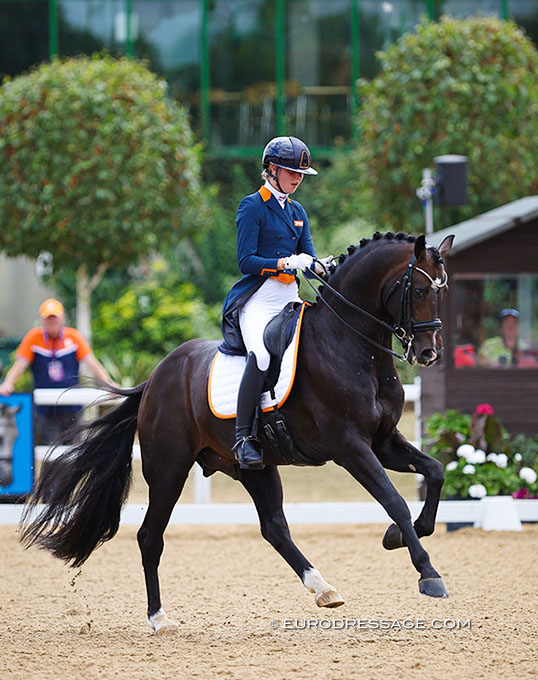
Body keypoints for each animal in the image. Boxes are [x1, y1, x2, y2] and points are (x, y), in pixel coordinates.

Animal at [21, 231, 454, 634]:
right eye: (418, 290)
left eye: (443, 290)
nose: (428, 354)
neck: (352, 346)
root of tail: (157, 377)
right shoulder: (351, 448)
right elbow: (394, 501)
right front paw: (429, 574)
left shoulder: (383, 442)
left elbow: (434, 472)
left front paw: (399, 536)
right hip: (168, 470)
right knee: (150, 536)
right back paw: (159, 618)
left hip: (253, 467)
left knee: (274, 527)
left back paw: (323, 588)